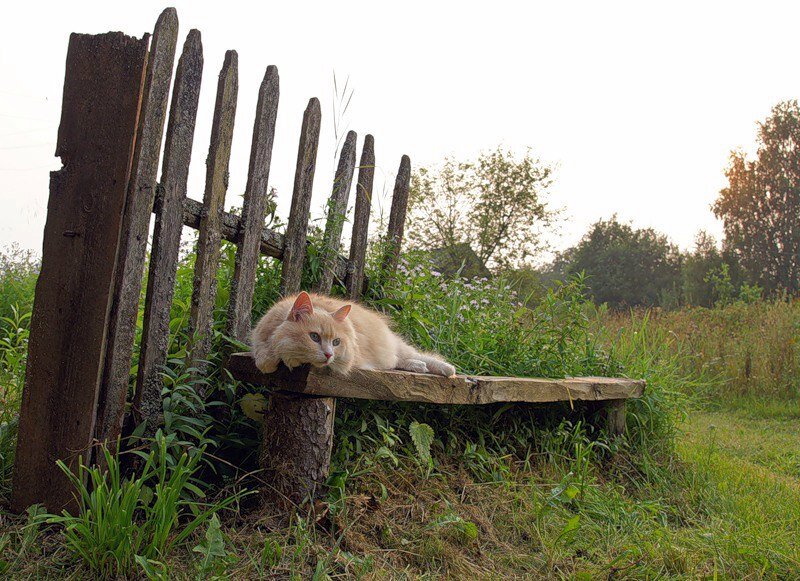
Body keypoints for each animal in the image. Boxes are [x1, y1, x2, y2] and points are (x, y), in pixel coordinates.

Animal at [250, 290, 456, 376]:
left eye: (336, 342)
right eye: (314, 337)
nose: (328, 355)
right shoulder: (260, 339)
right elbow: (264, 358)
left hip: (396, 349)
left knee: (413, 357)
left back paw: (446, 370)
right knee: (398, 362)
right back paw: (418, 367)